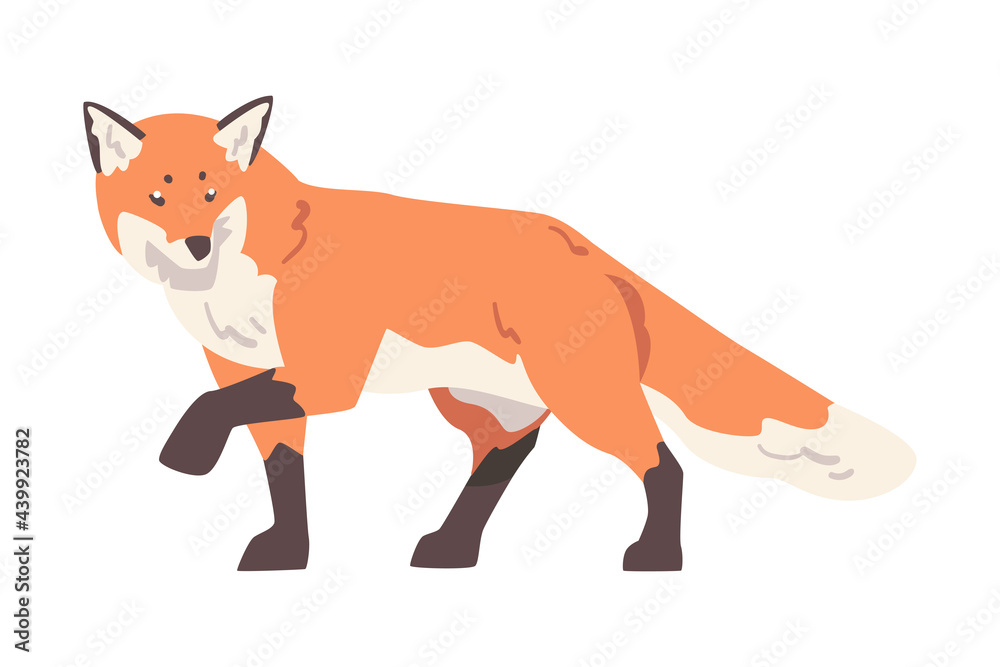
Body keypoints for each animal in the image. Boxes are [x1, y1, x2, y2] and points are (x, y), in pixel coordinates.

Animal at [84, 96, 915, 572]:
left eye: (211, 192)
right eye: (157, 197)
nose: (195, 246)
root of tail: (578, 241)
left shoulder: (325, 373)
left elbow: (208, 412)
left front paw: (186, 454)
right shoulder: (243, 370)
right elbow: (280, 467)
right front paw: (288, 554)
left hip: (581, 395)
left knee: (660, 461)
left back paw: (656, 556)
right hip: (478, 398)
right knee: (505, 456)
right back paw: (453, 549)